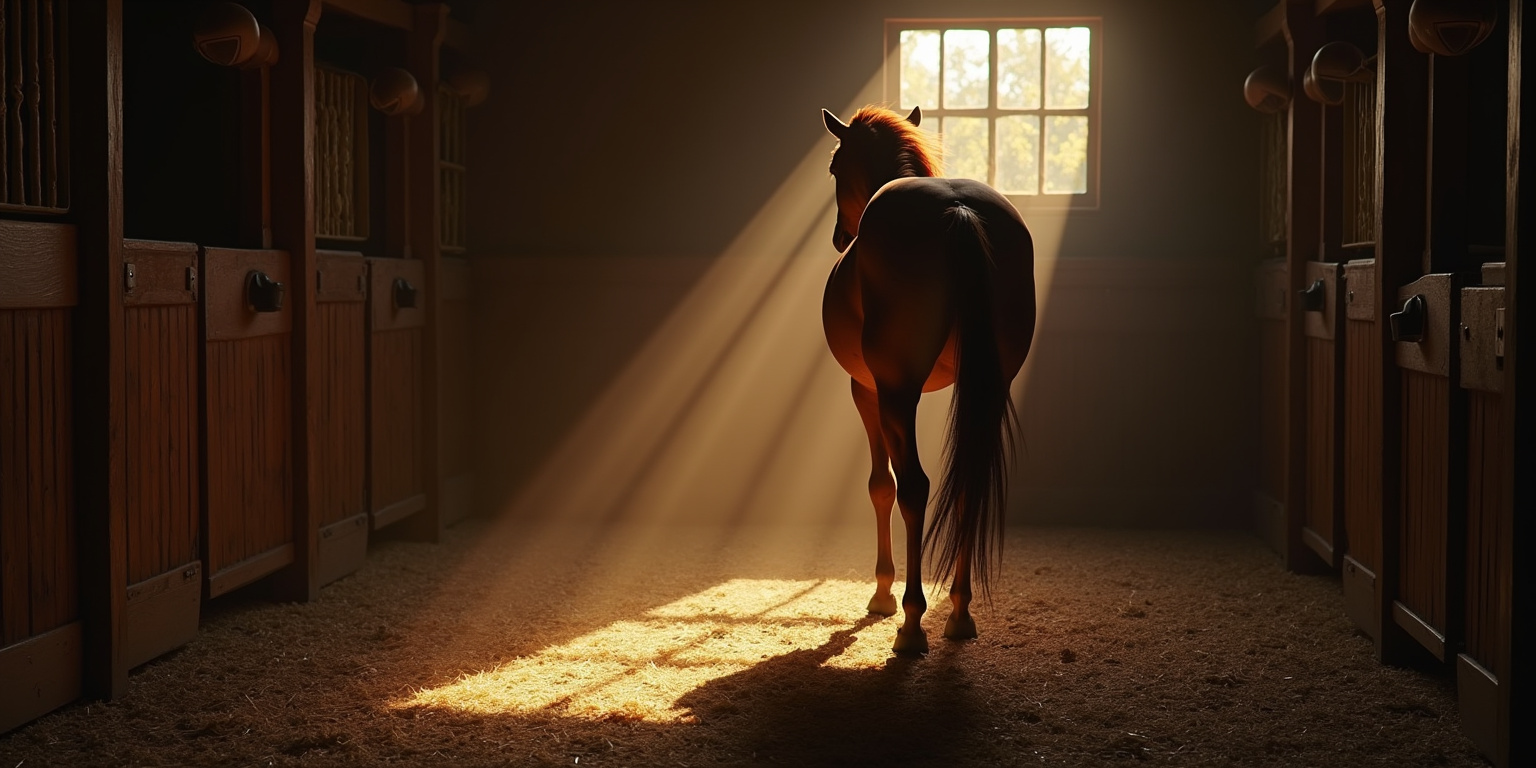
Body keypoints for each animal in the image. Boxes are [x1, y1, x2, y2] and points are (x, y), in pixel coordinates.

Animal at [821, 105, 1036, 654]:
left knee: (914, 488)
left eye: (834, 167)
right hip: (988, 389)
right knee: (967, 484)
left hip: (897, 393)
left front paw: (882, 596)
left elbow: (882, 487)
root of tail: (958, 212)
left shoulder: (868, 390)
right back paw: (959, 614)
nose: (839, 237)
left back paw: (913, 623)